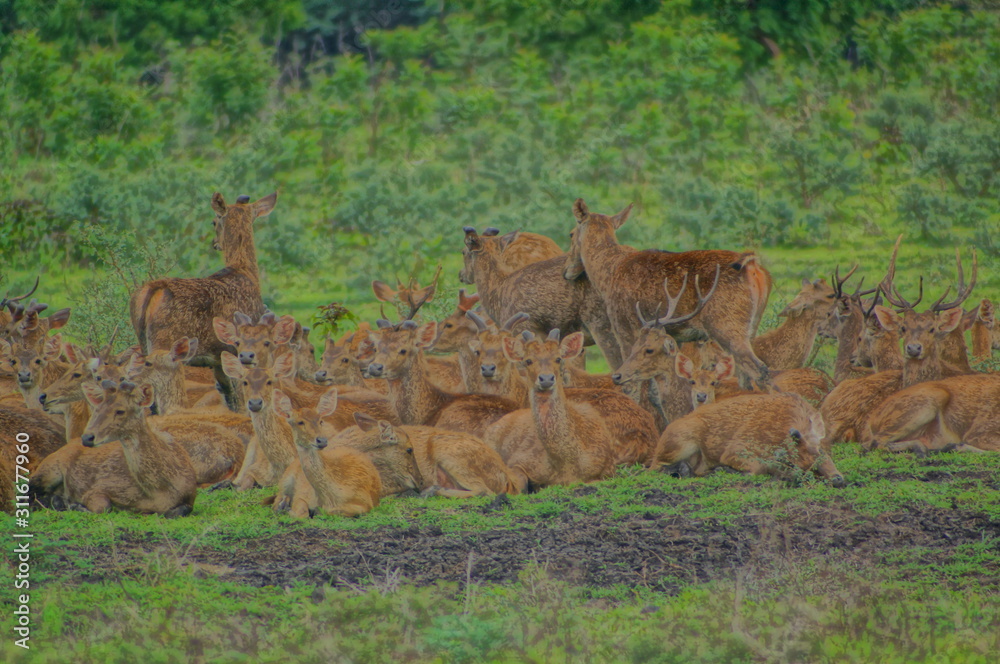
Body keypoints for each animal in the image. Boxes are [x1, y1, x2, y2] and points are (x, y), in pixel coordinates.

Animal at [33, 380, 198, 516]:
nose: (87, 437)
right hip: (49, 468)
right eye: (97, 409)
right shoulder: (98, 488)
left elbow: (181, 510)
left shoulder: (190, 496)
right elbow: (103, 506)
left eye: (120, 411)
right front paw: (74, 505)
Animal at [130, 192, 276, 410]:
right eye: (213, 221)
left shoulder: (217, 360)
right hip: (163, 344)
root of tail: (153, 290)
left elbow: (230, 399)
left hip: (143, 343)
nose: (215, 243)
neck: (247, 273)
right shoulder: (241, 350)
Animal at [270, 388, 382, 518]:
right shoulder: (303, 493)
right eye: (300, 422)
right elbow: (301, 511)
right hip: (286, 477)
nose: (321, 440)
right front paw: (288, 508)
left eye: (321, 421)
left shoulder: (365, 502)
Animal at [564, 199, 772, 388]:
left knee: (760, 371)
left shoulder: (623, 326)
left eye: (571, 234)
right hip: (751, 327)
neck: (607, 275)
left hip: (727, 325)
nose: (567, 270)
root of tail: (753, 267)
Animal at [652, 392, 845, 486]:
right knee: (655, 466)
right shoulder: (737, 451)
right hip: (683, 443)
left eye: (821, 456)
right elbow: (754, 468)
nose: (838, 480)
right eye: (794, 463)